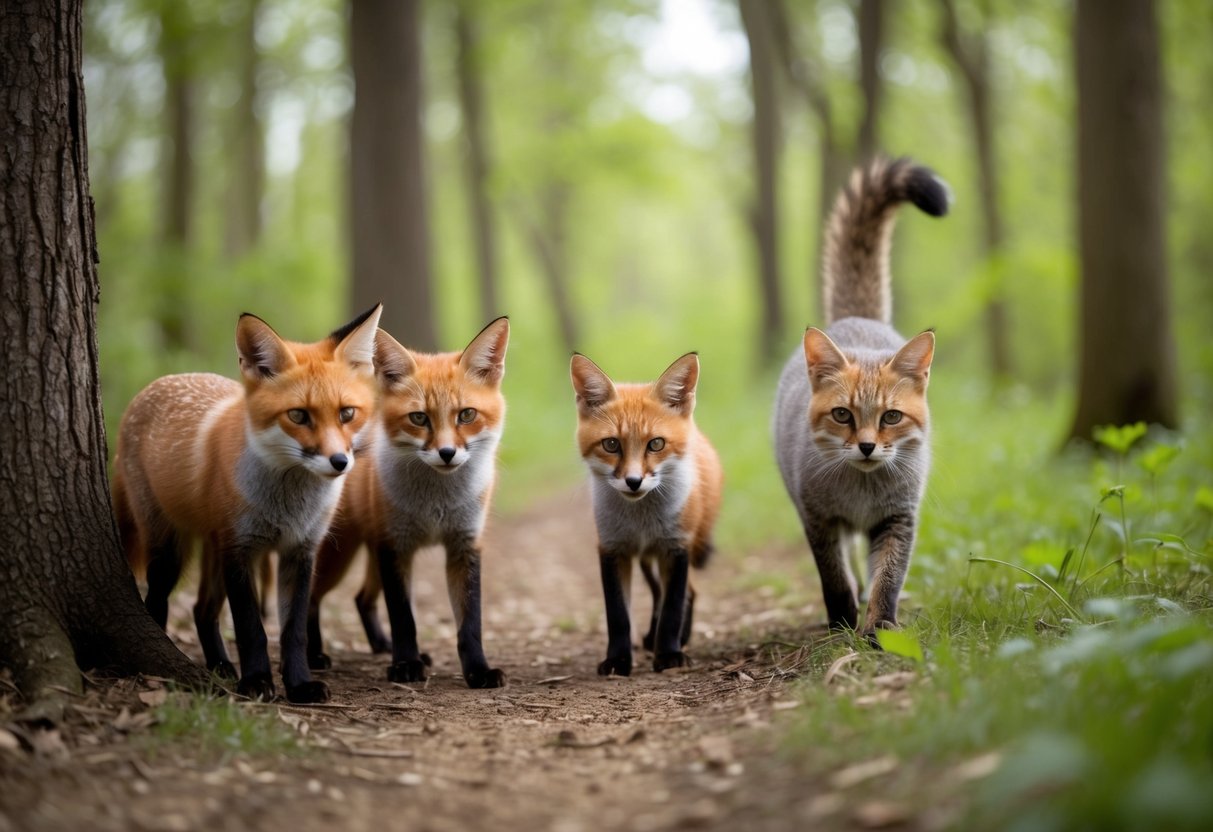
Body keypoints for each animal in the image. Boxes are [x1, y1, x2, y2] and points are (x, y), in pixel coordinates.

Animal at [111, 305, 382, 703]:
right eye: (298, 415)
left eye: (347, 413)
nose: (339, 462)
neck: (287, 505)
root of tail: (151, 387)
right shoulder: (239, 550)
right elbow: (251, 627)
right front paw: (256, 682)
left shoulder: (300, 551)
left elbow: (293, 631)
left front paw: (299, 684)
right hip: (171, 550)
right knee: (158, 601)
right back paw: (165, 662)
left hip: (213, 552)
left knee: (202, 610)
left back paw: (221, 665)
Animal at [306, 318, 510, 689]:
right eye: (419, 418)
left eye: (466, 415)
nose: (446, 453)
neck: (436, 504)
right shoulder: (395, 547)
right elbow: (404, 617)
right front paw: (406, 665)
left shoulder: (464, 546)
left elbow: (470, 624)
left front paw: (478, 670)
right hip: (340, 554)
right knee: (312, 598)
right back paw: (314, 655)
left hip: (371, 553)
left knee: (362, 598)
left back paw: (381, 646)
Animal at [570, 352, 722, 676]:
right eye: (611, 444)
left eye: (656, 444)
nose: (633, 481)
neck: (640, 521)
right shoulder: (612, 548)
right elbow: (618, 616)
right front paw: (618, 660)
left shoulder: (676, 547)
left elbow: (672, 609)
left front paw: (669, 655)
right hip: (646, 560)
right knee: (661, 594)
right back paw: (651, 638)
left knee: (687, 594)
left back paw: (674, 640)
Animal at [772, 156, 949, 640]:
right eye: (842, 415)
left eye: (891, 417)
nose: (868, 446)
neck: (862, 492)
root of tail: (857, 318)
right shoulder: (818, 519)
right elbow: (833, 577)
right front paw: (842, 623)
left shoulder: (897, 520)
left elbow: (888, 577)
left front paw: (880, 627)